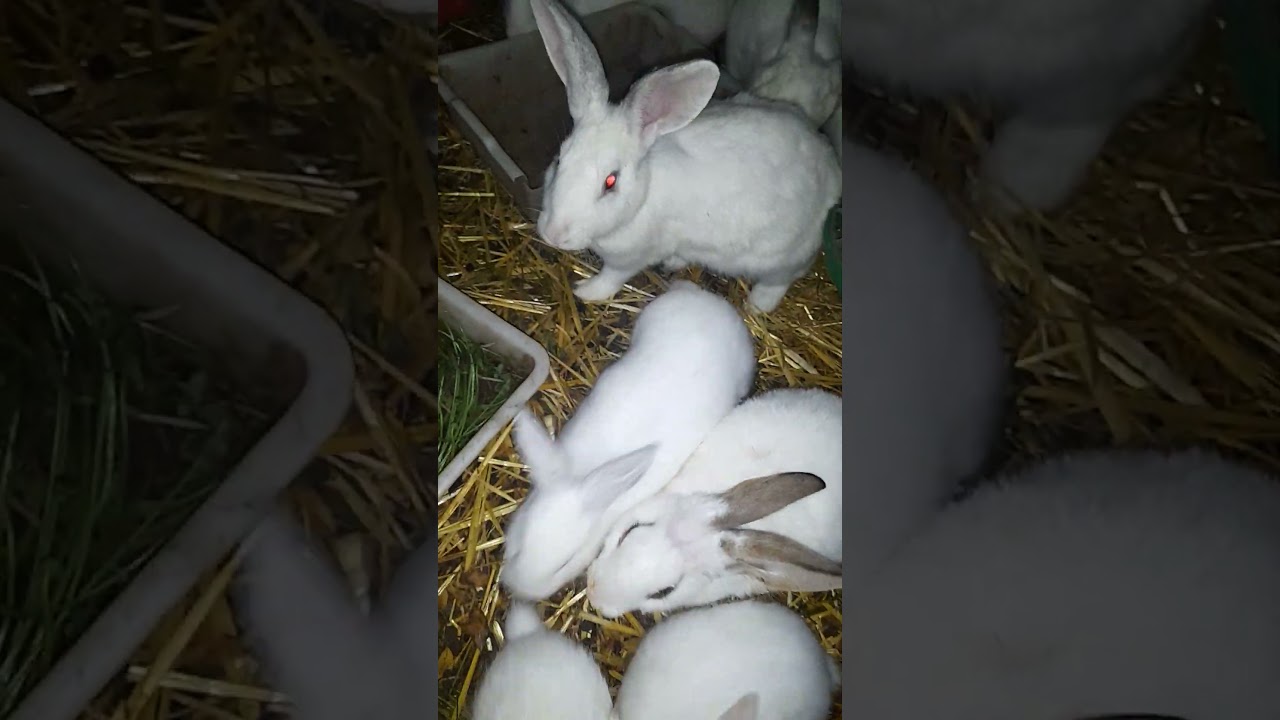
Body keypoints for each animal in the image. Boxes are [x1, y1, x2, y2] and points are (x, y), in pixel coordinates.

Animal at [528, 0, 841, 313]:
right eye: (559, 160)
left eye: (610, 181)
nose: (554, 234)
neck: (644, 193)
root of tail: (829, 166)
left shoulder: (631, 258)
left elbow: (612, 277)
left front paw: (585, 291)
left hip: (782, 258)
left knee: (780, 281)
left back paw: (756, 306)